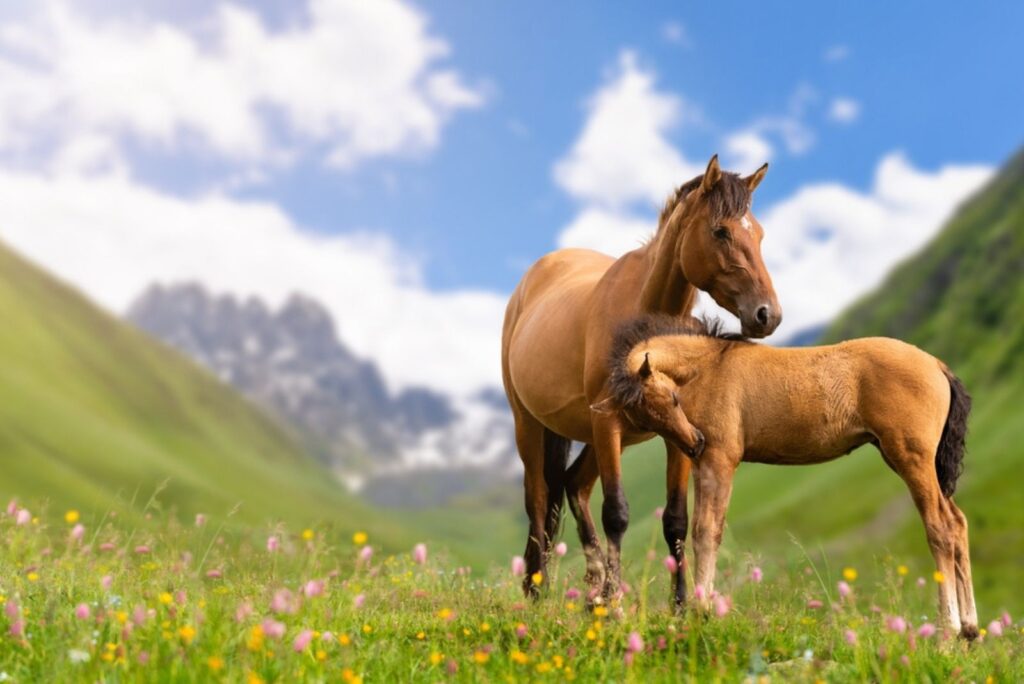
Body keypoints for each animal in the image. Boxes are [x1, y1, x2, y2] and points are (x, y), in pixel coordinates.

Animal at [501, 155, 782, 605]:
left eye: (758, 233)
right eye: (720, 231)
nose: (767, 314)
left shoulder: (679, 431)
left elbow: (676, 520)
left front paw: (679, 604)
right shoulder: (607, 422)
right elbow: (616, 512)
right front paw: (614, 602)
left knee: (573, 485)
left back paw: (593, 580)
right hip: (530, 424)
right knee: (540, 500)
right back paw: (538, 589)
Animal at [592, 314, 978, 639]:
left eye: (673, 398)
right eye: (645, 420)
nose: (694, 442)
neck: (711, 366)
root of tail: (937, 365)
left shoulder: (719, 459)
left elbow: (707, 532)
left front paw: (703, 611)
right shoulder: (704, 464)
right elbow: (702, 529)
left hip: (912, 458)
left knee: (940, 527)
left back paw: (949, 631)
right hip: (908, 460)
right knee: (958, 522)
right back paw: (971, 630)